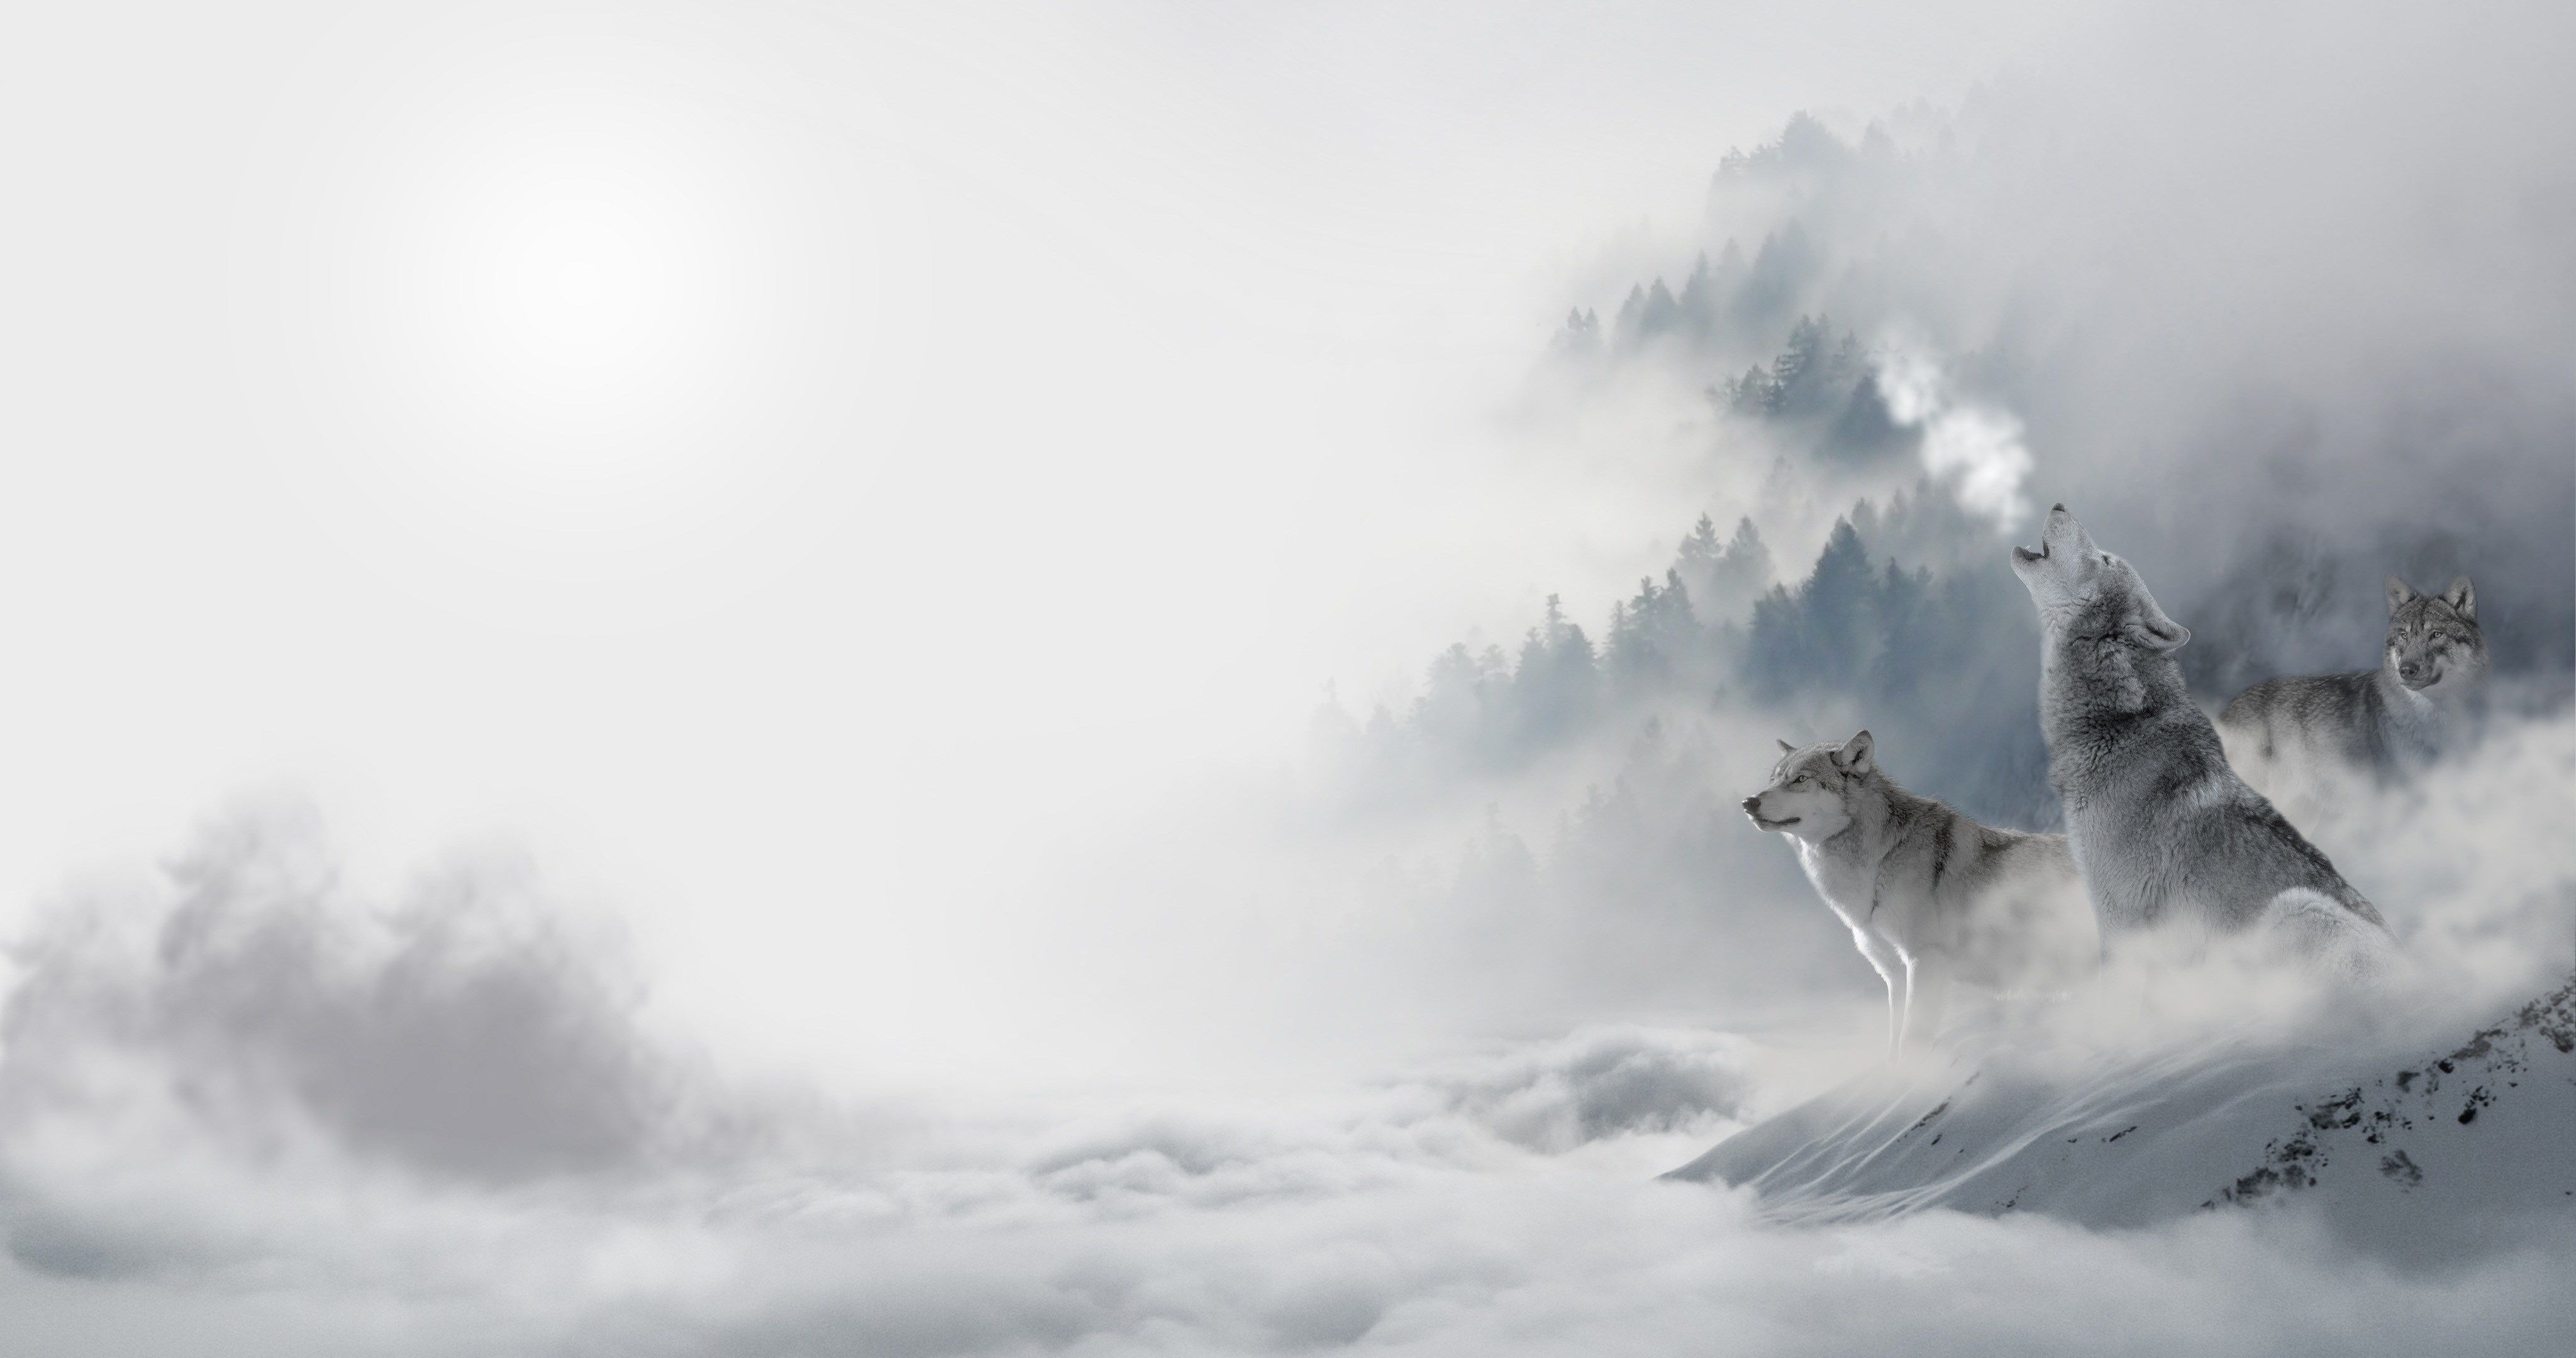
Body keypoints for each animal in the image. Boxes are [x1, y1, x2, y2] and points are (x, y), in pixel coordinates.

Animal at [1743, 731, 2096, 1054]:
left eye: (1800, 779)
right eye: (1774, 780)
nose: (1749, 802)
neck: (1879, 862)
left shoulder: (1924, 962)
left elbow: (1910, 1044)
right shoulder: (1895, 976)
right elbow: (1893, 1047)